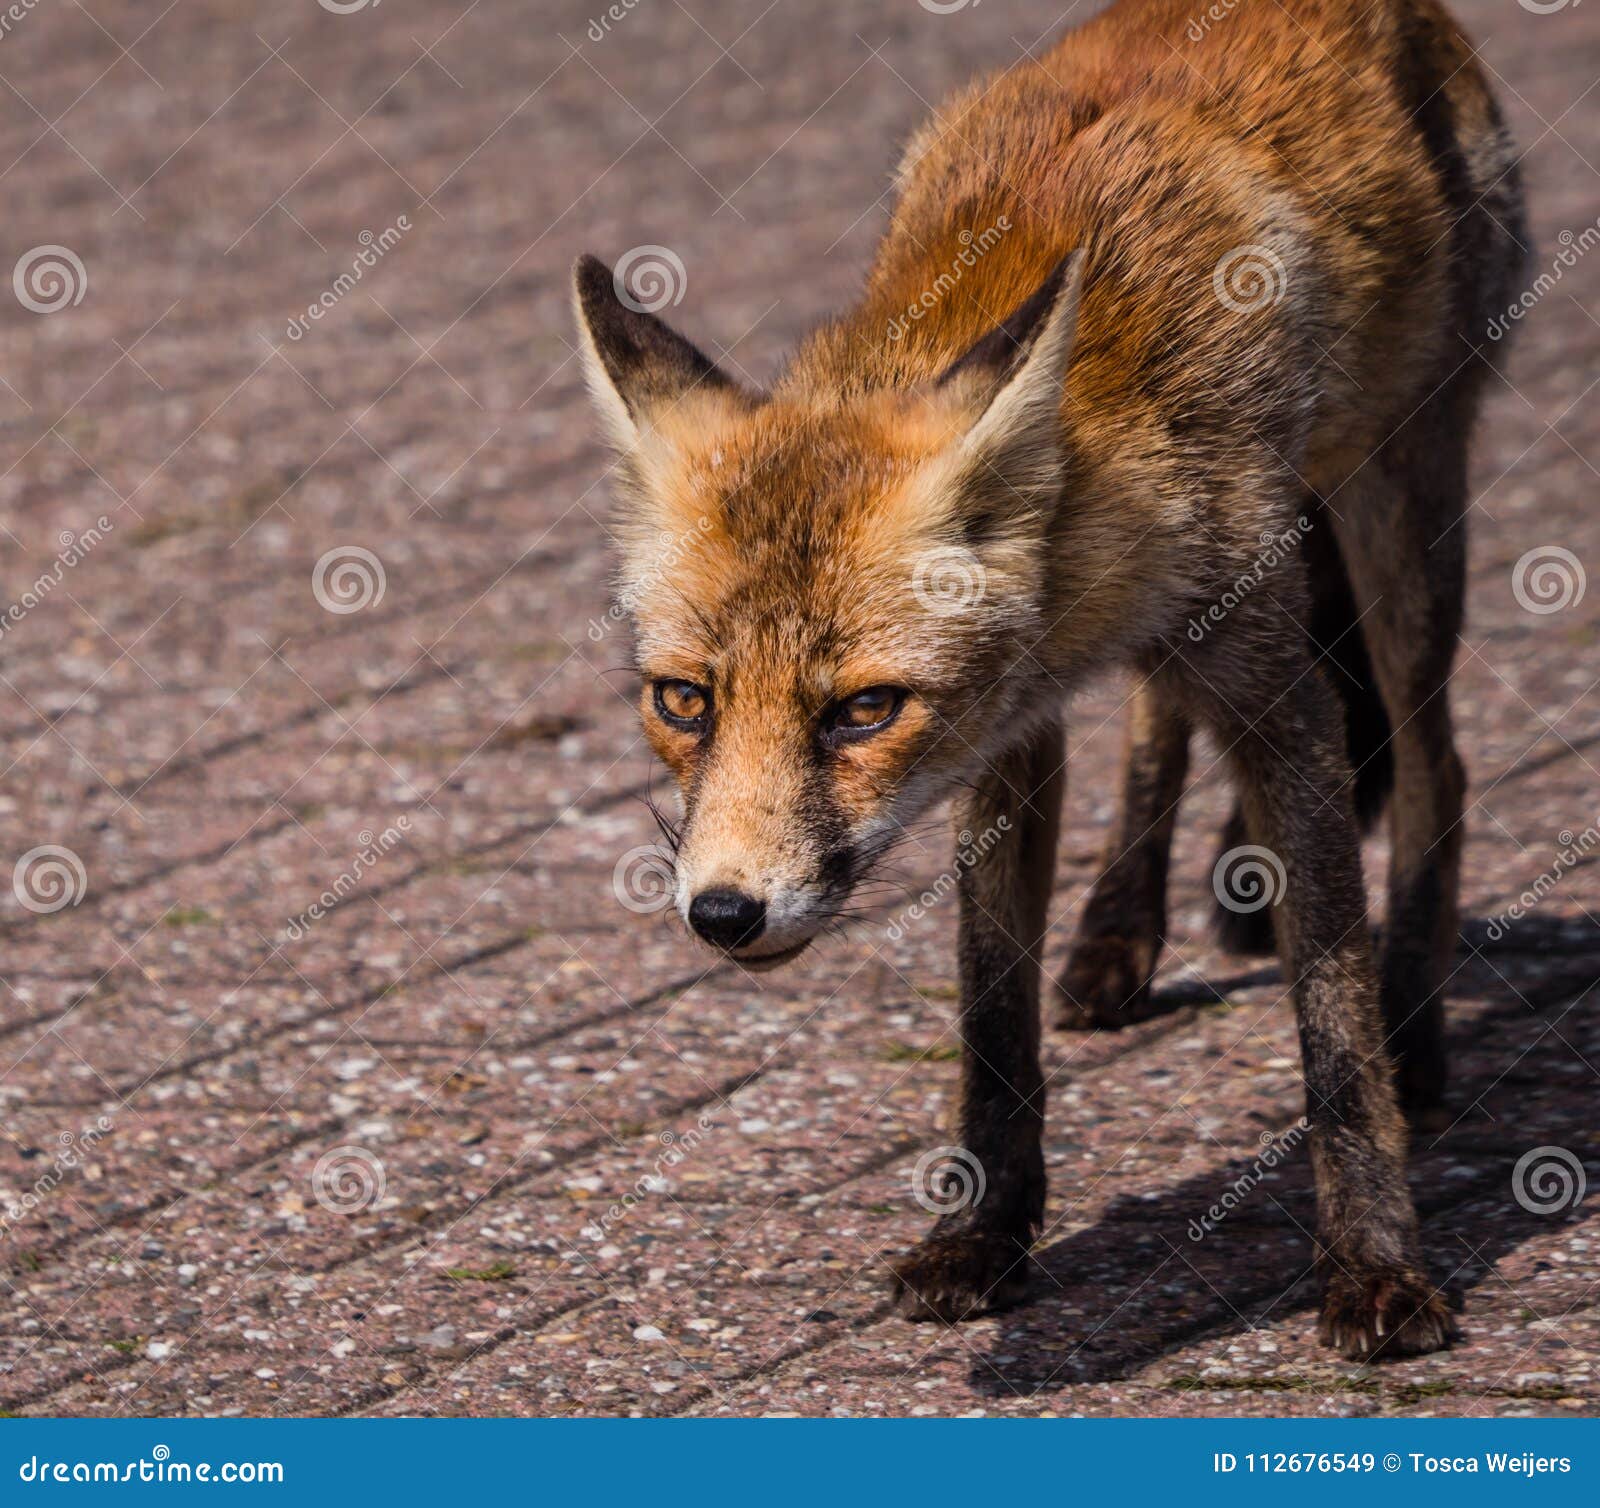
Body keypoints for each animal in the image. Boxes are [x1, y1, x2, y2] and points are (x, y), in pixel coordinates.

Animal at [573, 0, 1526, 1359]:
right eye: (684, 699)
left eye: (862, 708)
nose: (724, 912)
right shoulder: (1008, 737)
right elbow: (991, 1015)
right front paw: (985, 1232)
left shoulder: (1274, 701)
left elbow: (1328, 1017)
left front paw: (1376, 1261)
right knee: (1158, 719)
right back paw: (1117, 928)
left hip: (1397, 505)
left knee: (1434, 756)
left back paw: (1417, 1030)